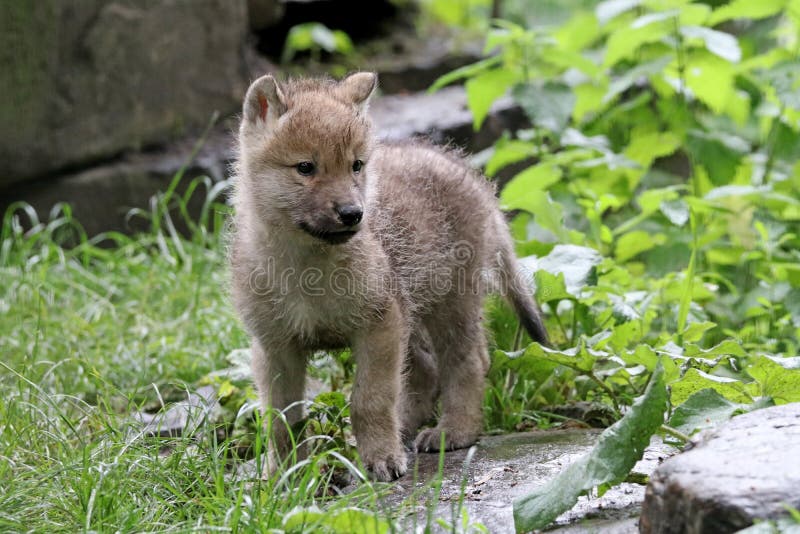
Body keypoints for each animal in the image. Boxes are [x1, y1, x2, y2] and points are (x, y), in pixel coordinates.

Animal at [230, 72, 548, 482]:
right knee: (427, 370)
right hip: (414, 315)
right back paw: (407, 429)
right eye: (305, 167)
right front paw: (284, 476)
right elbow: (281, 419)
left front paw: (380, 459)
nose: (353, 213)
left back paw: (452, 431)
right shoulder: (275, 347)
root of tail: (471, 176)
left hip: (450, 303)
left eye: (356, 165)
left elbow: (369, 399)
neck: (305, 269)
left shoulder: (379, 324)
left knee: (469, 360)